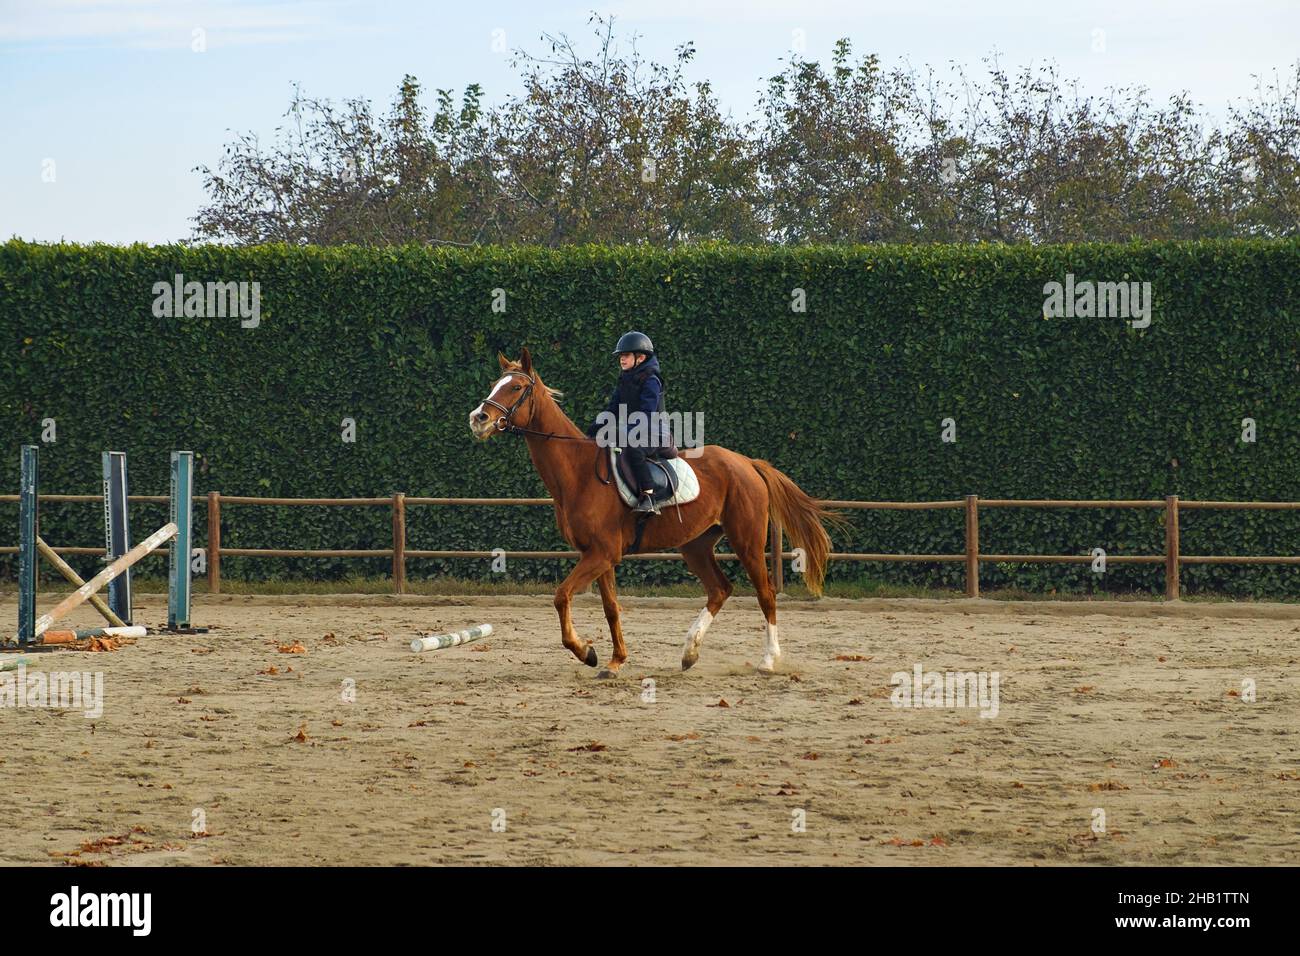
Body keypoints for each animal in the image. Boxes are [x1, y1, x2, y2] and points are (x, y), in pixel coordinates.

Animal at [469, 347, 846, 677]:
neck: (578, 473)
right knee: (720, 589)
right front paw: (614, 661)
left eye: (516, 387)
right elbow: (611, 608)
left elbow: (562, 596)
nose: (478, 419)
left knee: (765, 594)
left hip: (747, 541)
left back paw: (767, 661)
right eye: (495, 384)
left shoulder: (601, 554)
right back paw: (689, 652)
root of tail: (747, 463)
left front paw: (586, 652)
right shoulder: (599, 555)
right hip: (695, 545)